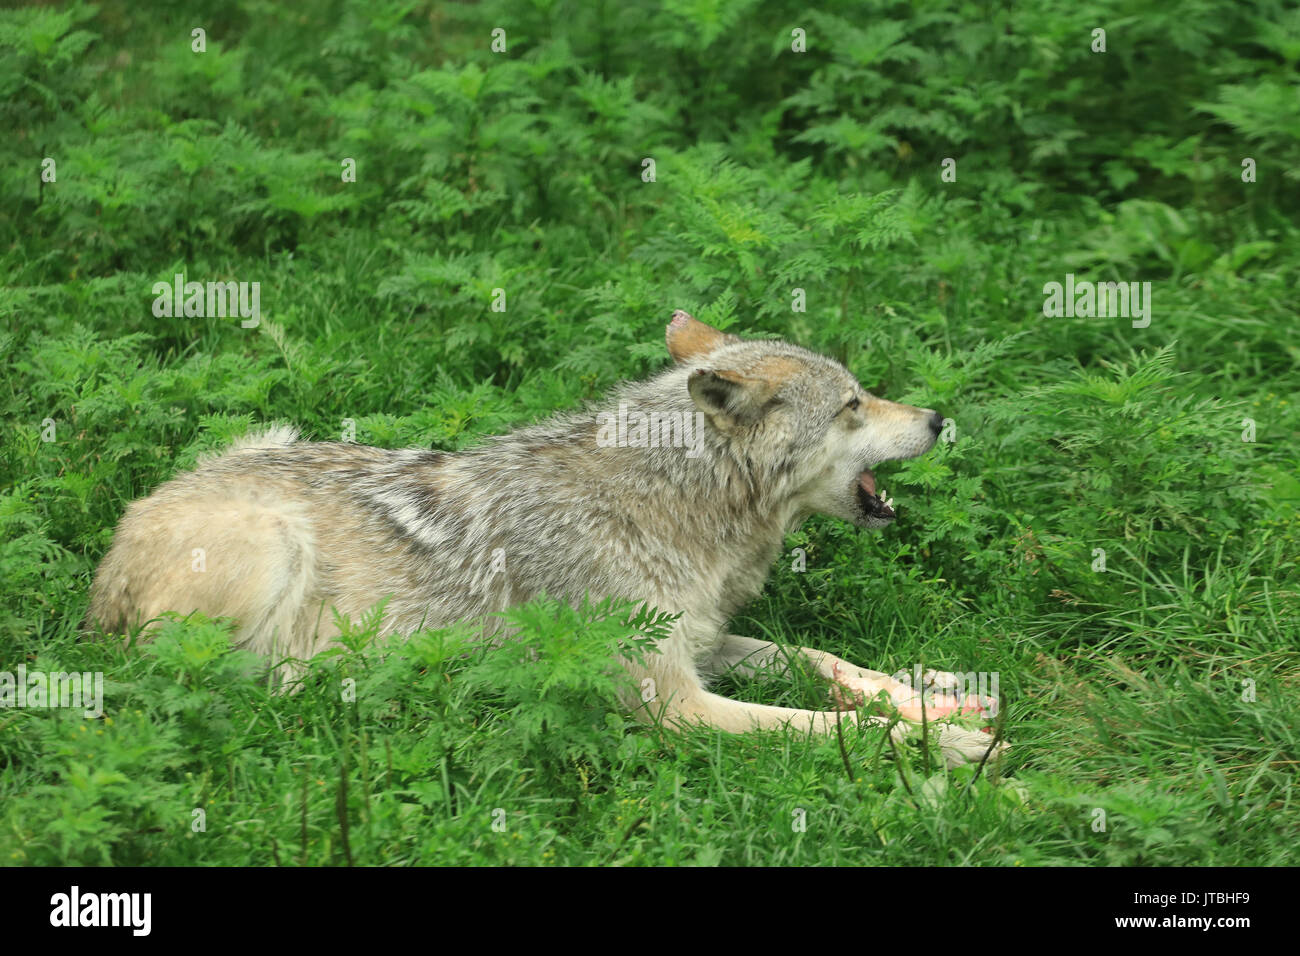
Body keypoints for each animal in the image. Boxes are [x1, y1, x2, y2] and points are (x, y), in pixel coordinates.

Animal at [87, 311, 1003, 767]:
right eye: (852, 405)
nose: (937, 418)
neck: (677, 509)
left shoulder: (701, 643)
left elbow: (823, 661)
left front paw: (941, 691)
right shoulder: (672, 705)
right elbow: (833, 727)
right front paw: (957, 745)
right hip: (271, 543)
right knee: (211, 681)